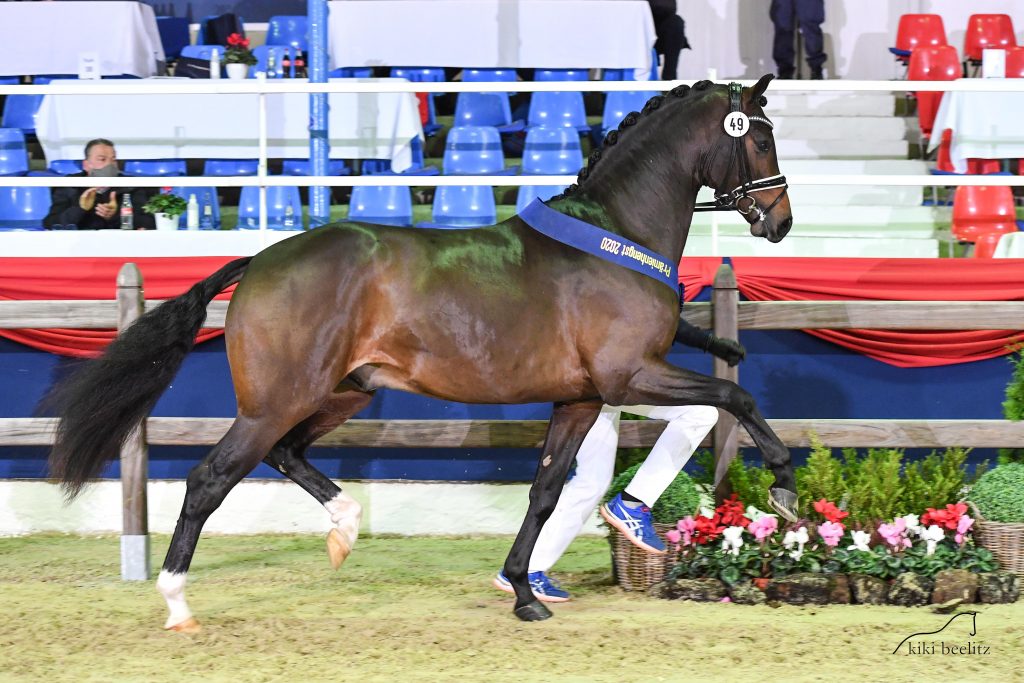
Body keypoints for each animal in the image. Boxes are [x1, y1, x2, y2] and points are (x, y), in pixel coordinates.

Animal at [45, 75, 794, 631]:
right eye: (759, 137)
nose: (781, 221)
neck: (614, 233)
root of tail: (258, 260)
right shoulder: (630, 375)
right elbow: (737, 395)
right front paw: (784, 489)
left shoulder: (581, 397)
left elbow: (547, 490)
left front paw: (523, 591)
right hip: (277, 400)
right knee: (211, 478)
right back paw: (176, 599)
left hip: (342, 391)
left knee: (288, 453)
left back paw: (345, 528)